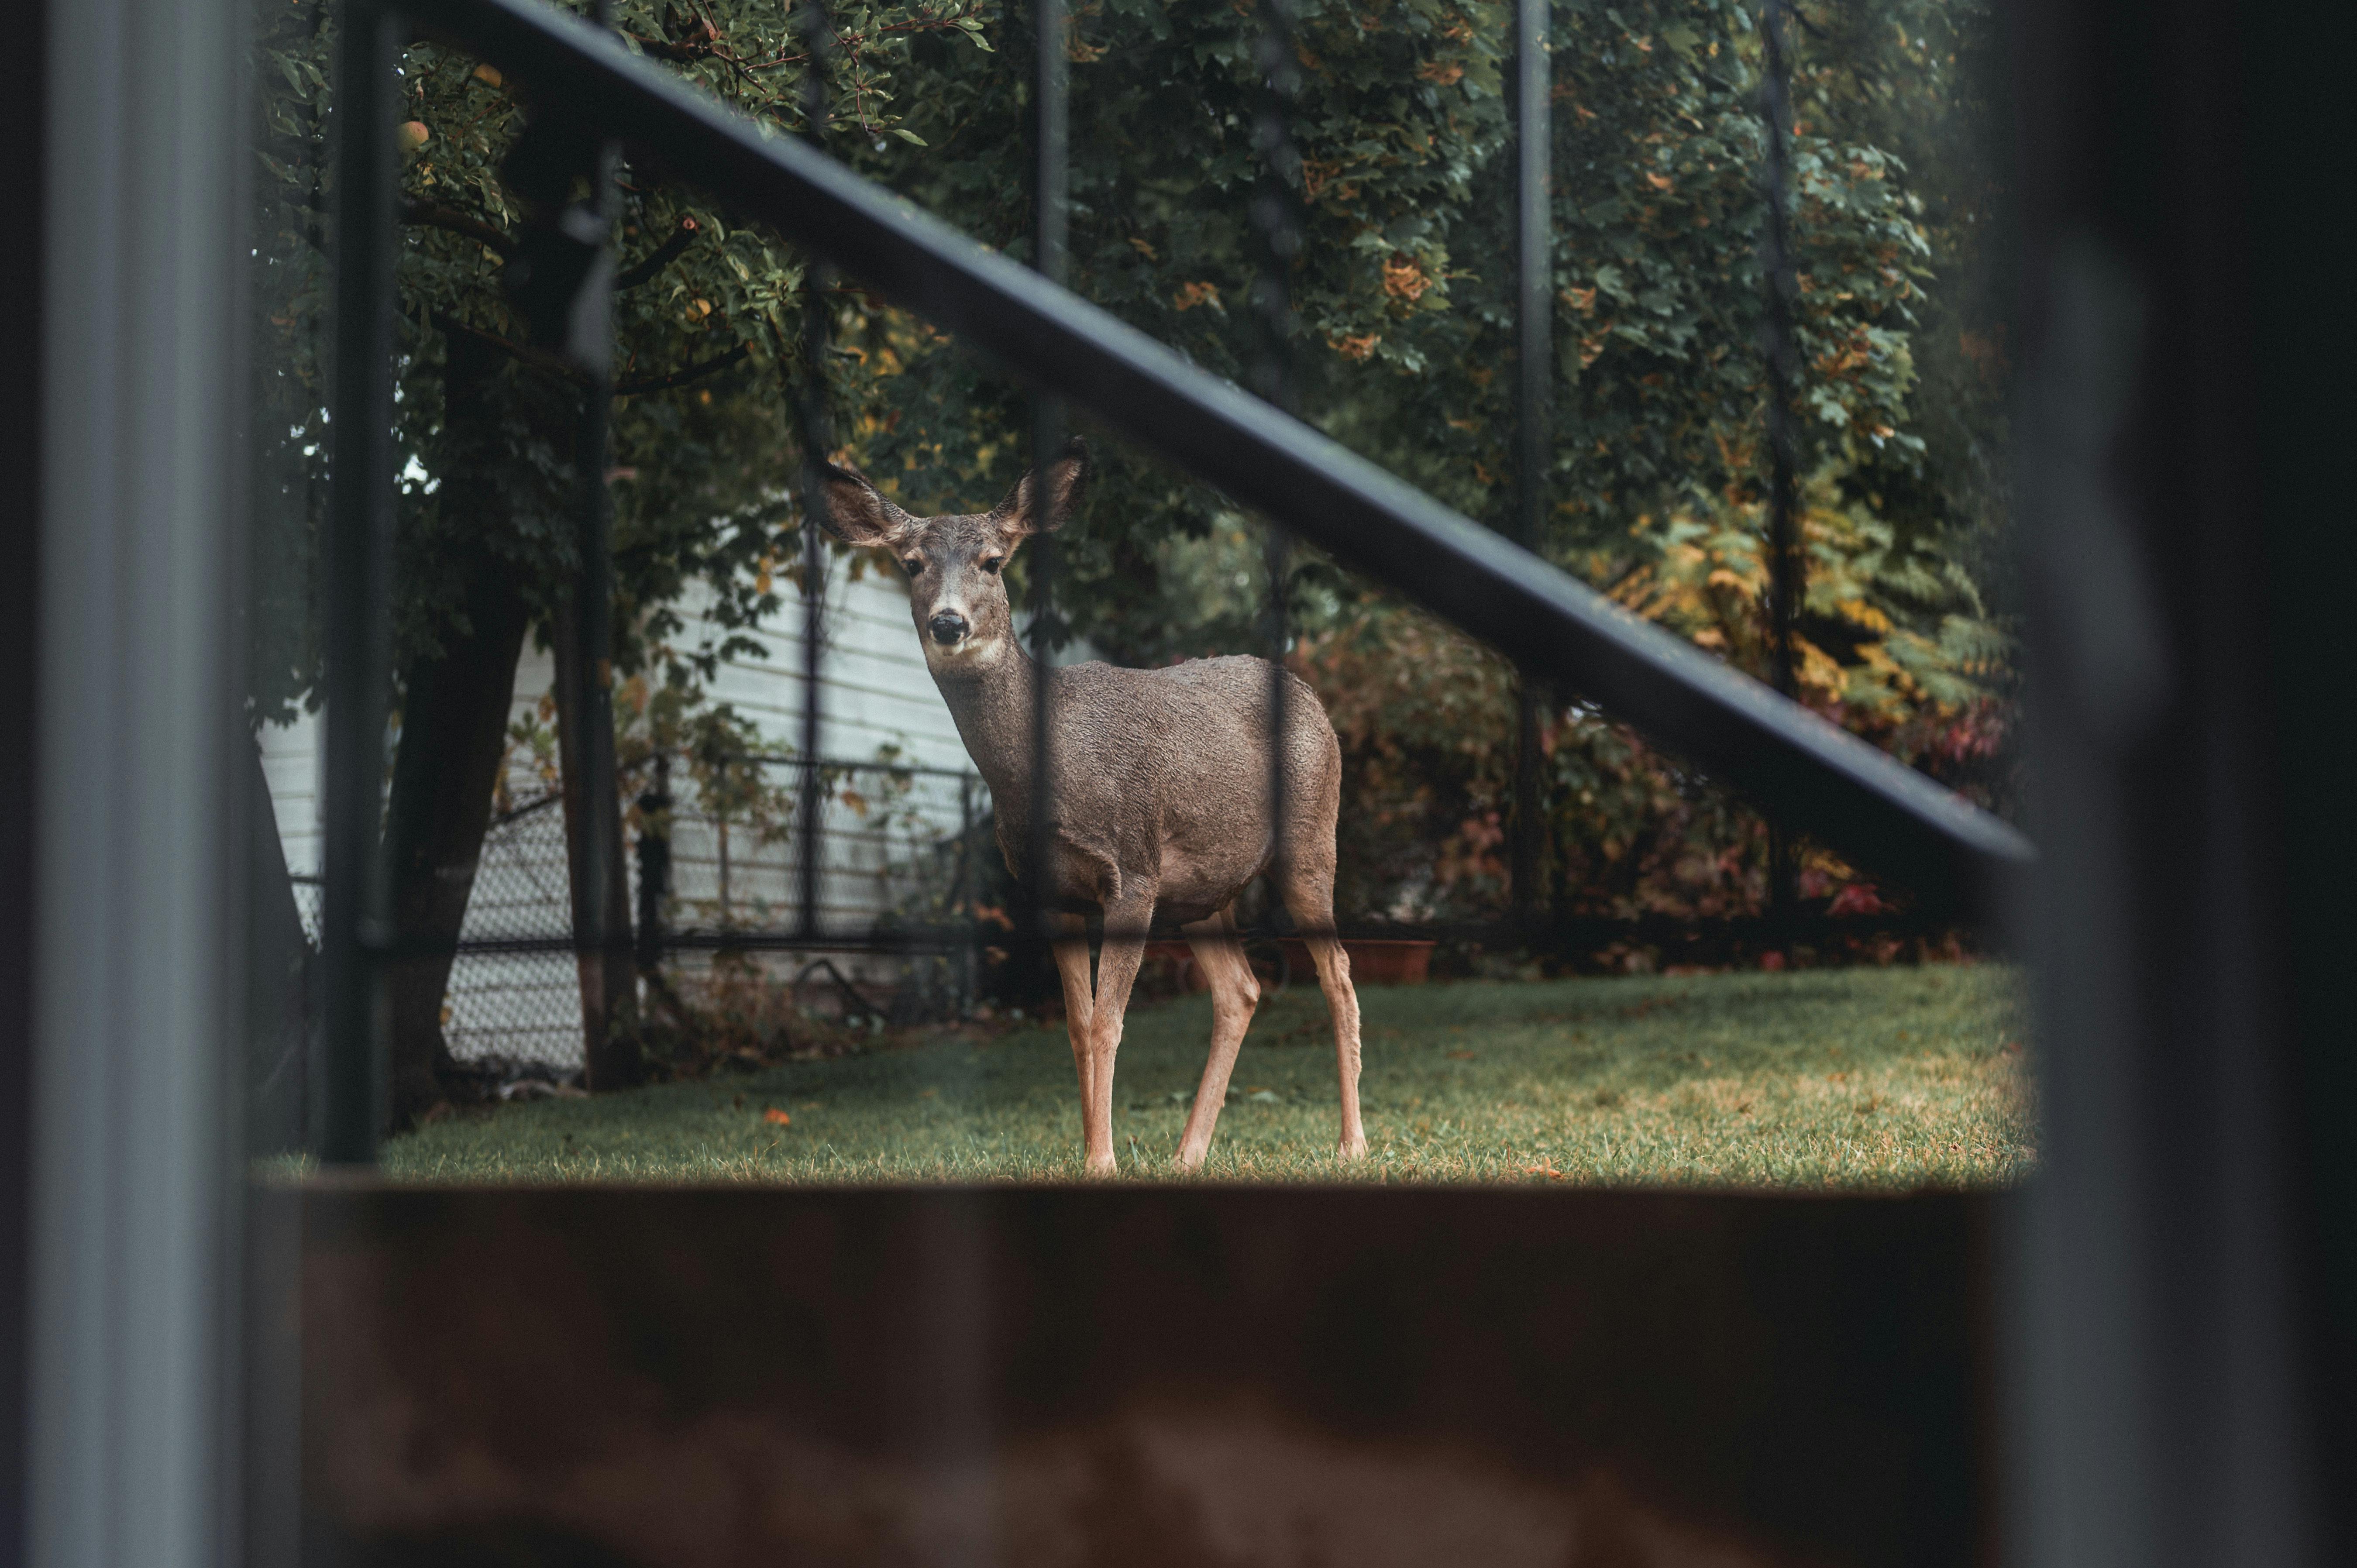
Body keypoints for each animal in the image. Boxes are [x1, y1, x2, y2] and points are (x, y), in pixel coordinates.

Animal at [818, 437, 1365, 1176]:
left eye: (993, 560)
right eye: (911, 564)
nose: (948, 621)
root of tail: (1310, 697)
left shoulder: (1130, 869)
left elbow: (1108, 1021)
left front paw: (1101, 1162)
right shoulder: (1051, 892)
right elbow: (1078, 1026)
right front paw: (1091, 1153)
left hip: (1309, 840)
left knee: (1337, 975)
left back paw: (1351, 1143)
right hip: (1202, 890)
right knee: (1241, 991)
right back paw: (1187, 1154)